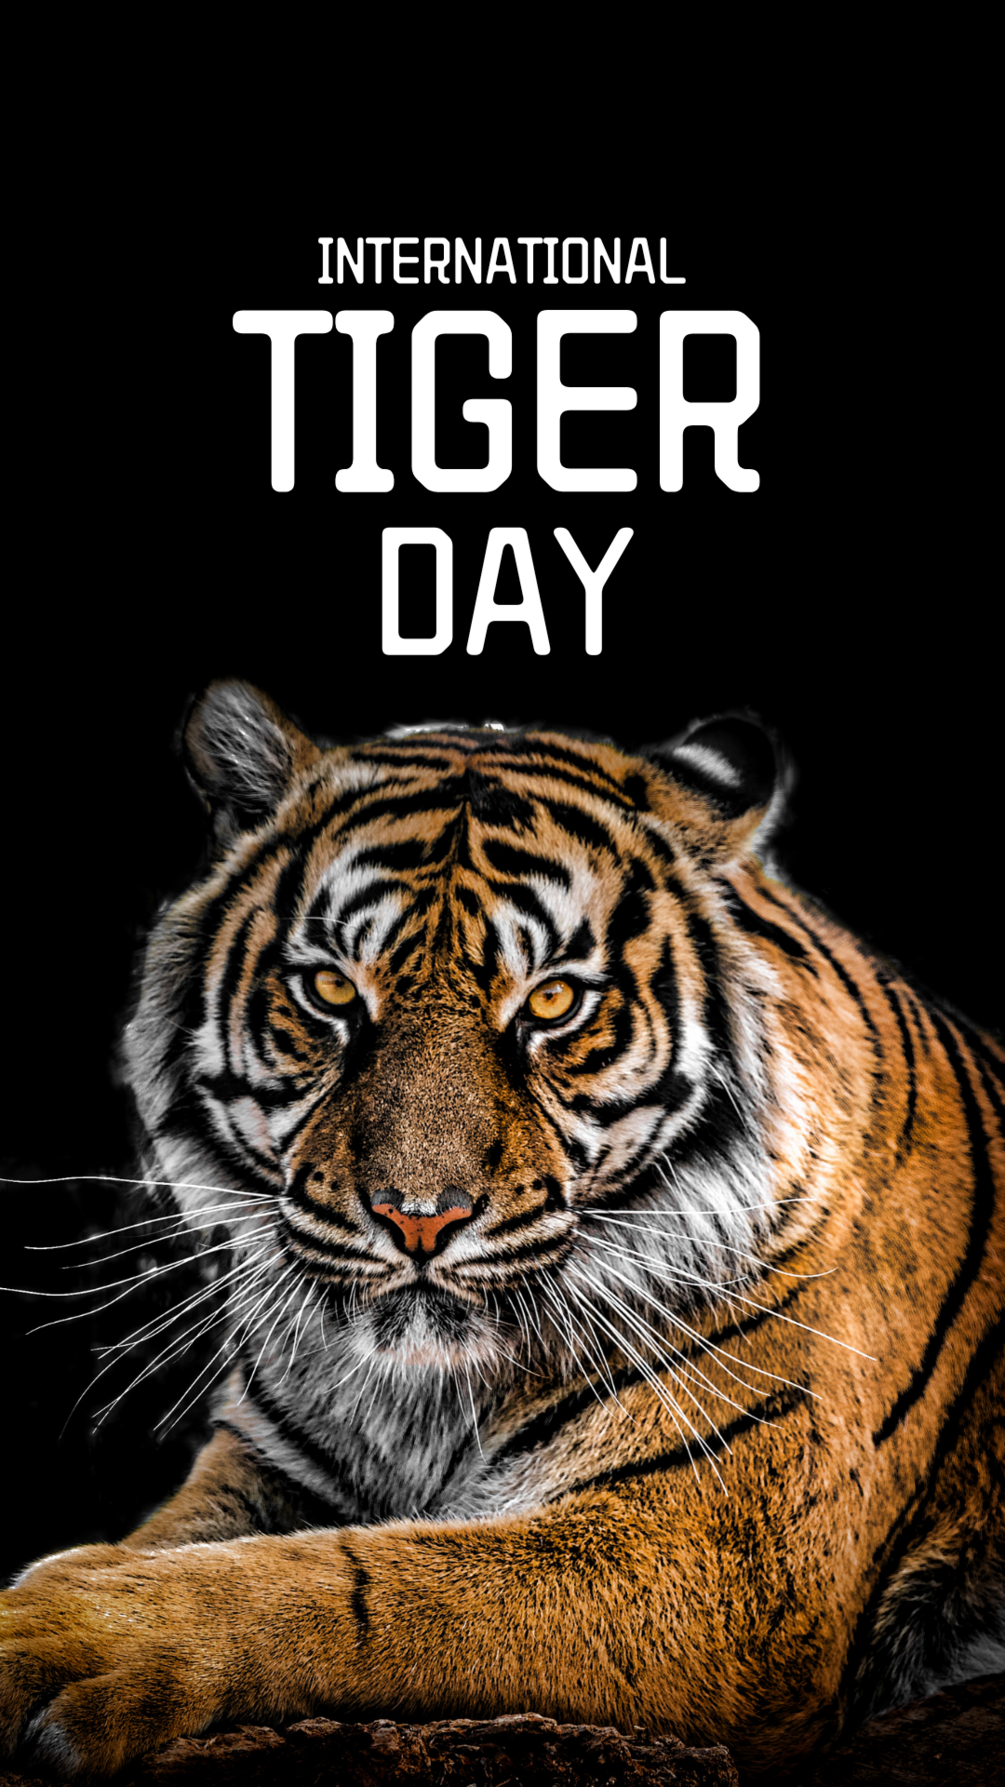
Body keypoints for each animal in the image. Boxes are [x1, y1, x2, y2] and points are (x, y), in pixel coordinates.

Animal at [2, 679, 1003, 1781]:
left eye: (554, 1000)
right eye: (332, 988)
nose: (418, 1217)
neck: (420, 1400)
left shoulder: (722, 1560)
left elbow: (364, 1585)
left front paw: (57, 1632)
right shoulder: (268, 1463)